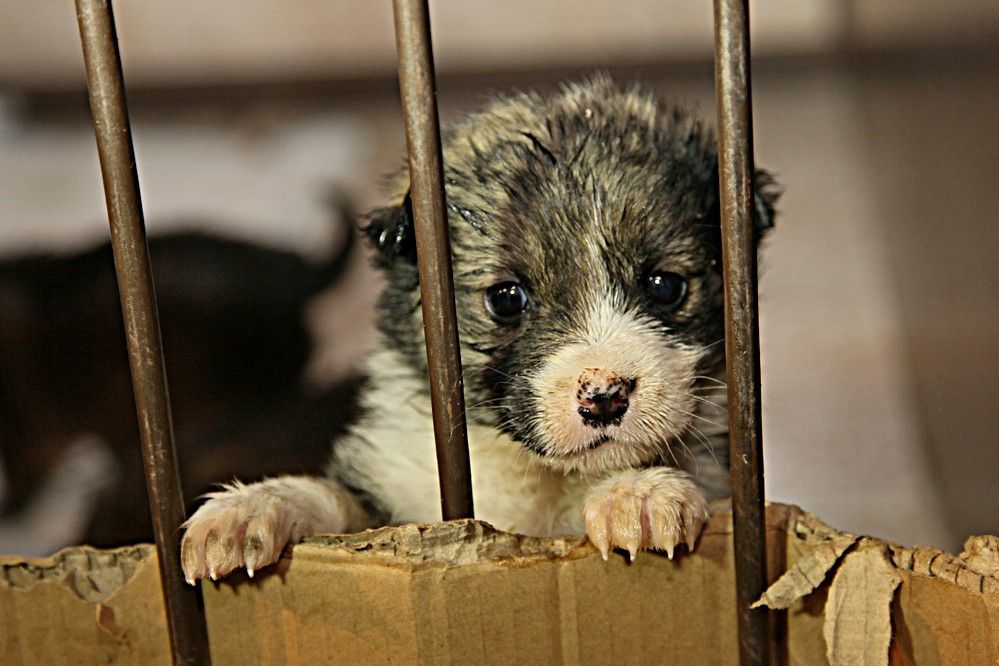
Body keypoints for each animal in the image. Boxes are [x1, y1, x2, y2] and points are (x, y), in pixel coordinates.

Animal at [180, 75, 776, 580]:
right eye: (507, 298)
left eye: (665, 286)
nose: (604, 396)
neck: (530, 475)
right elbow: (341, 503)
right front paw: (253, 508)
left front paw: (637, 495)